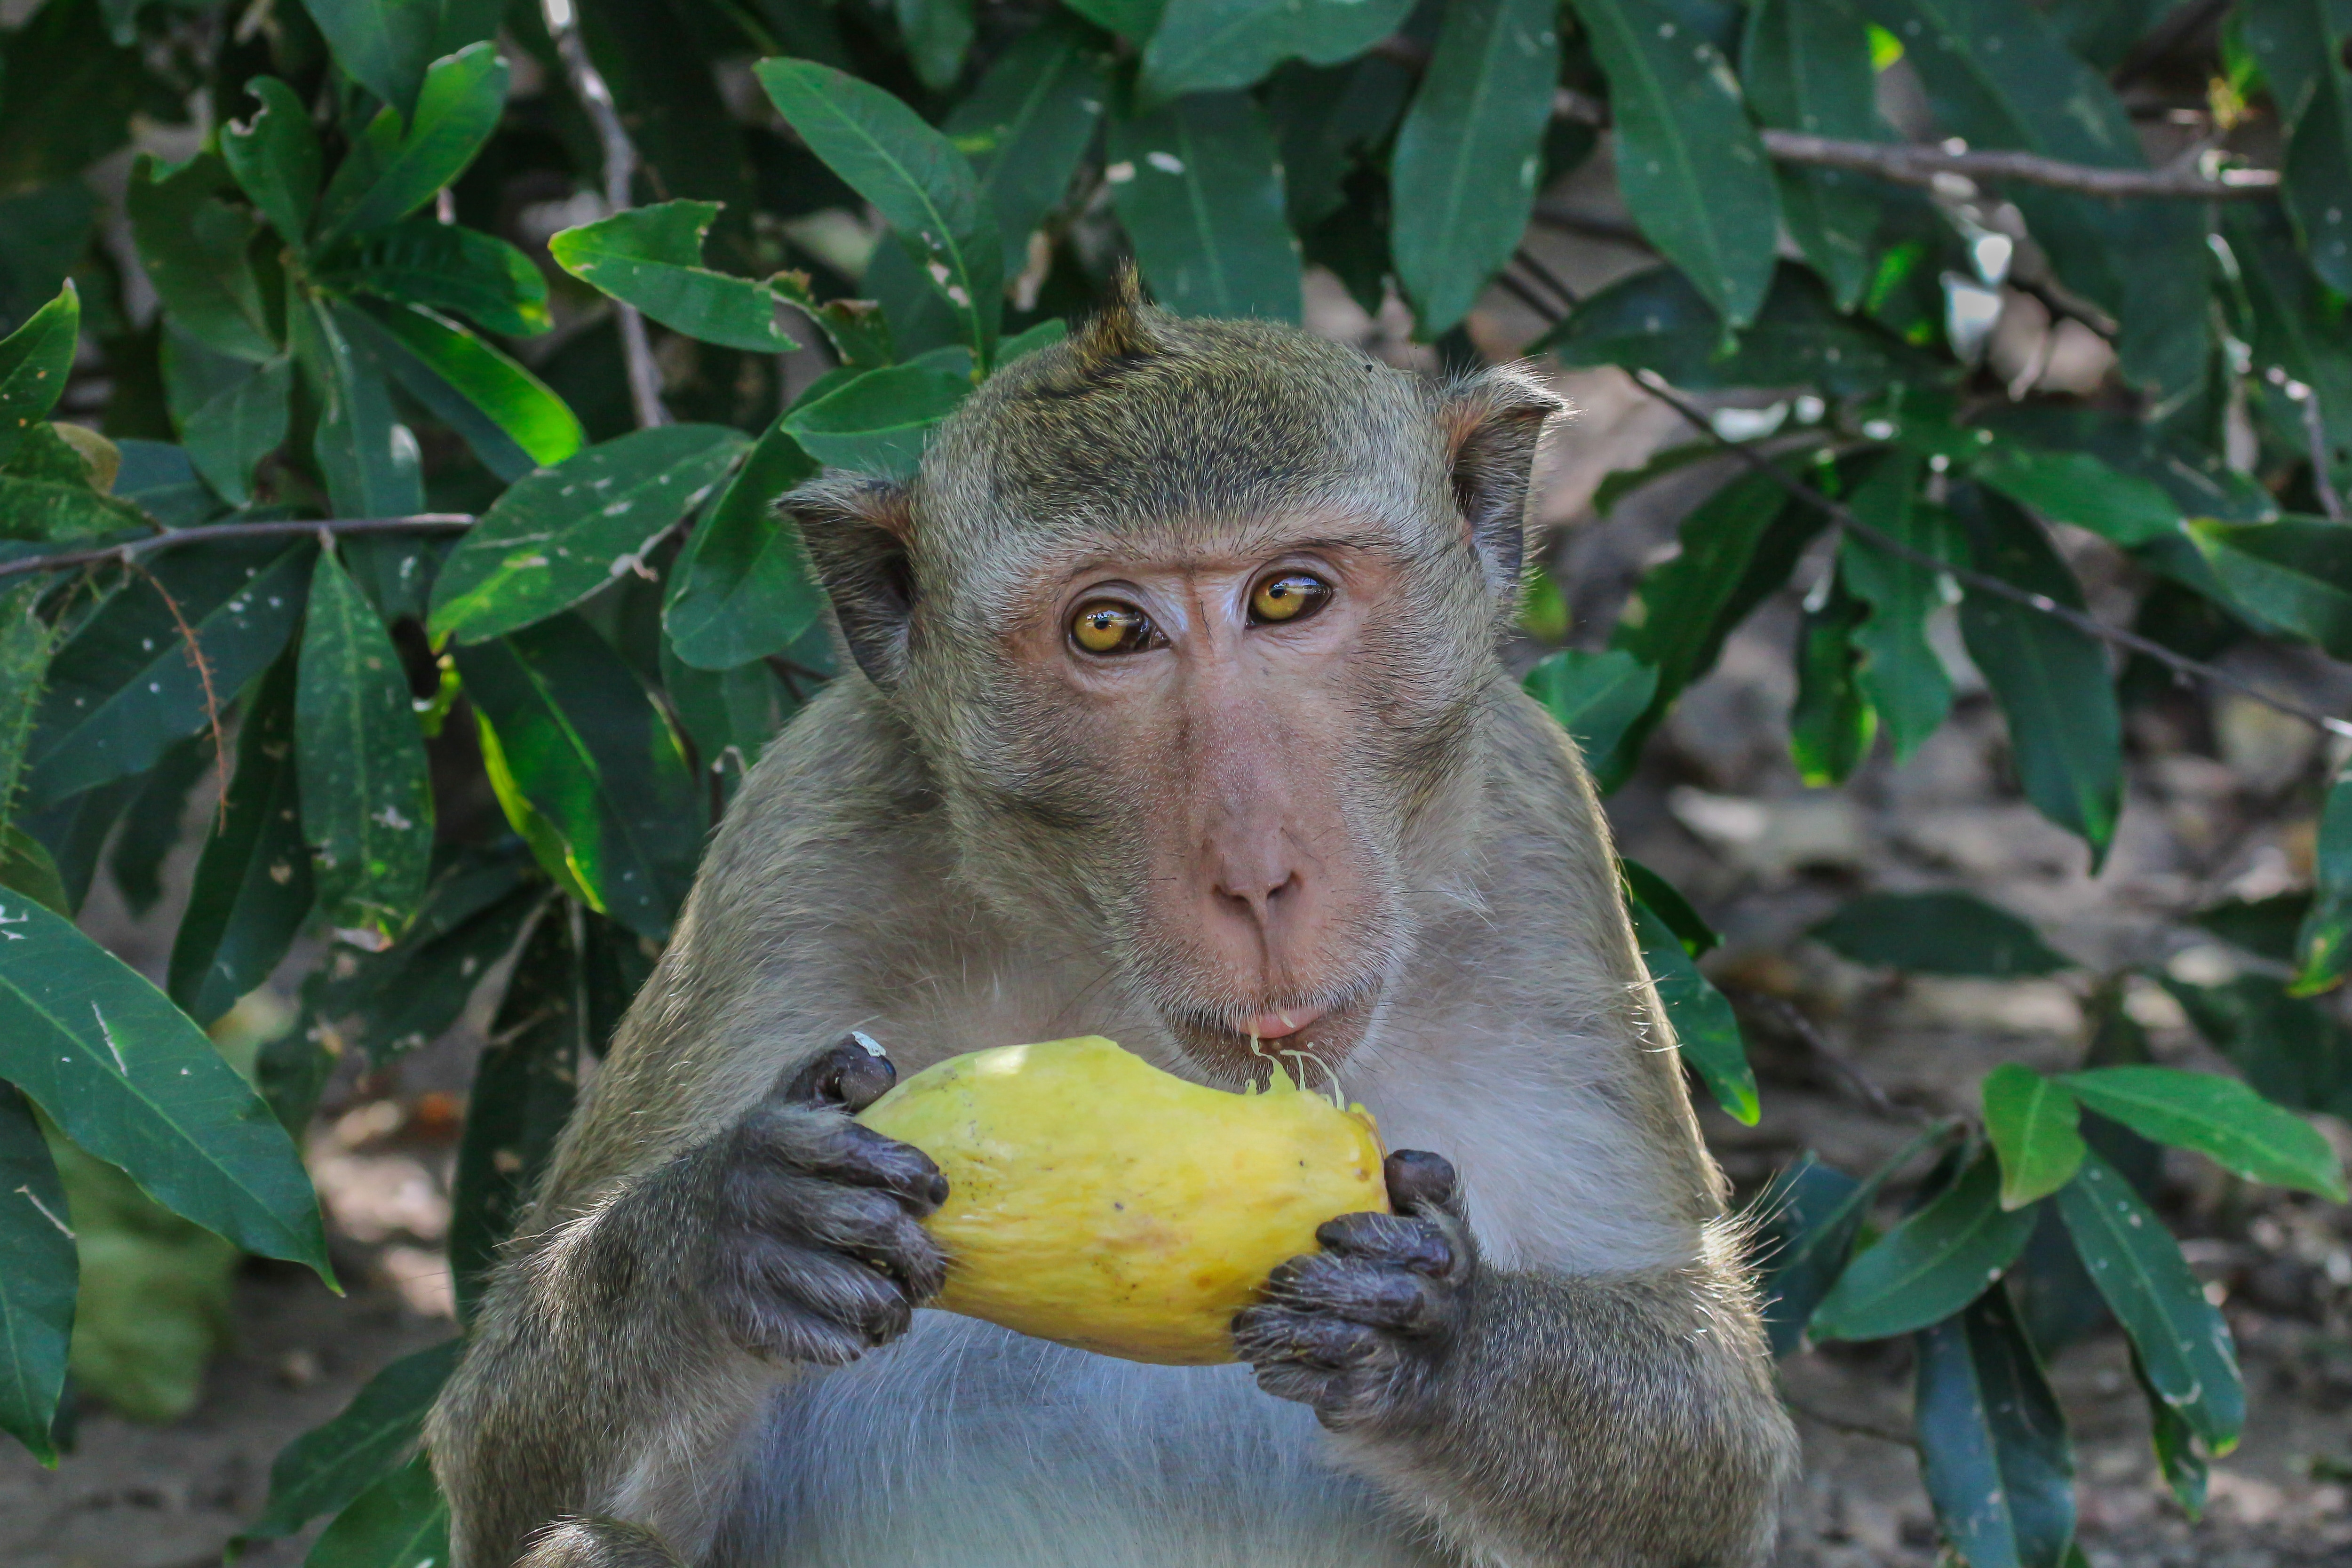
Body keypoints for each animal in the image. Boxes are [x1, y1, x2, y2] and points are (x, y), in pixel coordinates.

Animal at [427, 271, 1799, 1568]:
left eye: (1288, 597)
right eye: (1108, 627)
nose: (1256, 875)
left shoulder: (1540, 852)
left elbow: (1719, 1428)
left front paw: (1430, 1331)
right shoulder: (794, 857)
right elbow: (496, 1463)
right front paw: (738, 1229)